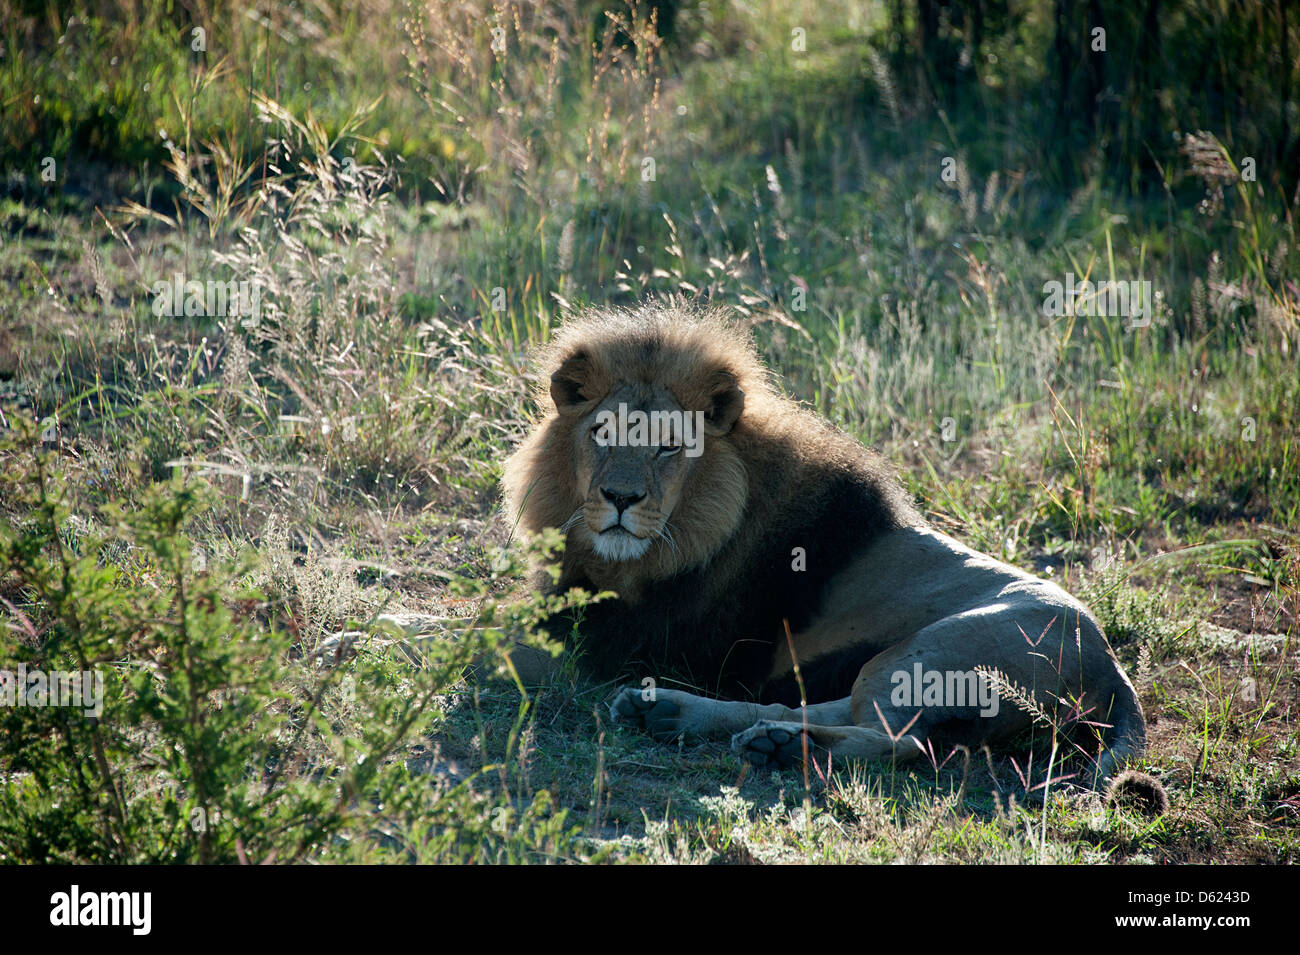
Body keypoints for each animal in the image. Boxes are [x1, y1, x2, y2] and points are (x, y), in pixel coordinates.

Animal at [502, 301, 1158, 797]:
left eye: (669, 446)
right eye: (601, 433)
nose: (619, 497)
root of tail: (1112, 665)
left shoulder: (628, 643)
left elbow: (510, 649)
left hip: (931, 649)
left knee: (902, 741)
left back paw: (780, 747)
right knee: (830, 709)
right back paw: (688, 717)